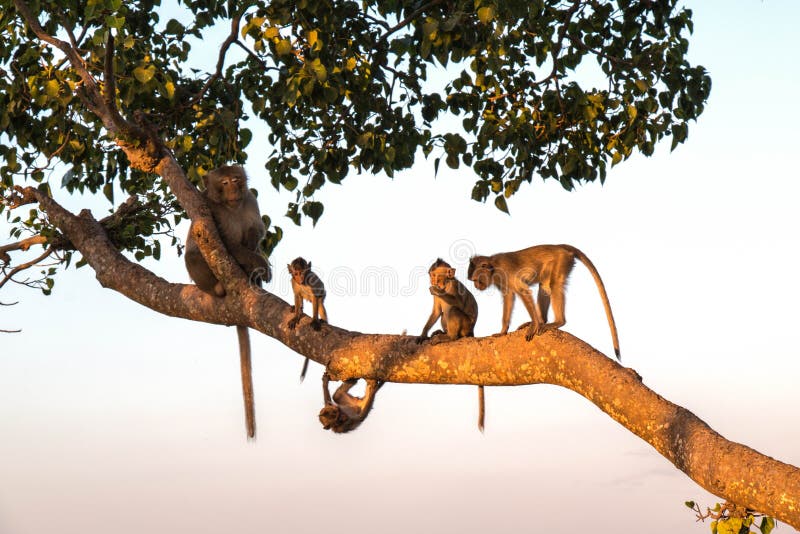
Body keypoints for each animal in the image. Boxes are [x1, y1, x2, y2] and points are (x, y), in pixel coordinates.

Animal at [184, 165, 272, 440]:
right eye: (223, 183)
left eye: (235, 179)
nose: (233, 189)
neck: (231, 206)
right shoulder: (209, 210)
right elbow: (226, 244)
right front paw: (258, 263)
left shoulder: (251, 200)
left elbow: (256, 231)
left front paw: (258, 260)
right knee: (193, 253)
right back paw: (220, 286)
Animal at [416, 258, 486, 431]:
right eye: (431, 275)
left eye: (435, 275)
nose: (432, 281)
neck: (445, 284)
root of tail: (471, 331)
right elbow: (436, 312)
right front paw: (423, 333)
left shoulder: (453, 286)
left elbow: (456, 302)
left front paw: (435, 290)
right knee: (443, 314)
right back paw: (440, 332)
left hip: (466, 326)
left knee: (452, 309)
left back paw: (449, 337)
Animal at [467, 244, 620, 360]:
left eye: (475, 280)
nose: (476, 286)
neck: (493, 266)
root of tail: (558, 246)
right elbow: (509, 297)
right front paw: (503, 331)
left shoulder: (506, 272)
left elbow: (523, 291)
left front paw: (534, 325)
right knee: (545, 285)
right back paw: (542, 320)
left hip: (561, 260)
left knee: (553, 285)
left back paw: (557, 322)